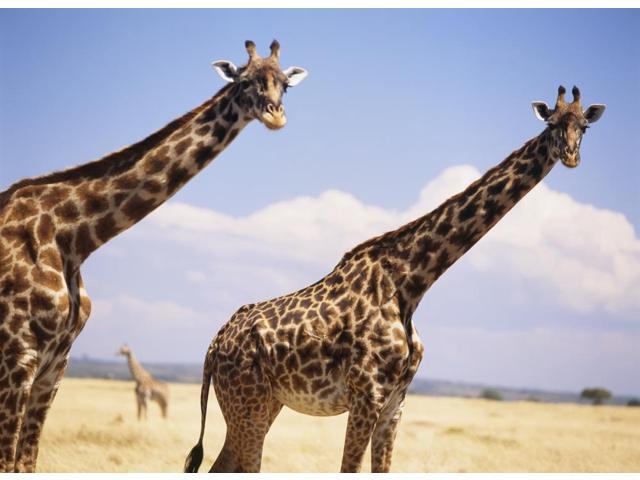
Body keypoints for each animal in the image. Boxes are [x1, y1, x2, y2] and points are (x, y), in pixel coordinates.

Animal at [0, 40, 308, 472]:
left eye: (285, 85)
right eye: (245, 81)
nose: (275, 115)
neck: (72, 237)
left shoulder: (54, 365)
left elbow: (26, 462)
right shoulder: (18, 356)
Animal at [184, 86, 606, 473]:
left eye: (584, 126)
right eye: (551, 123)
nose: (571, 156)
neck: (412, 283)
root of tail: (213, 345)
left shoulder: (395, 401)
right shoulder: (366, 396)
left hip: (264, 403)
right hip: (248, 404)